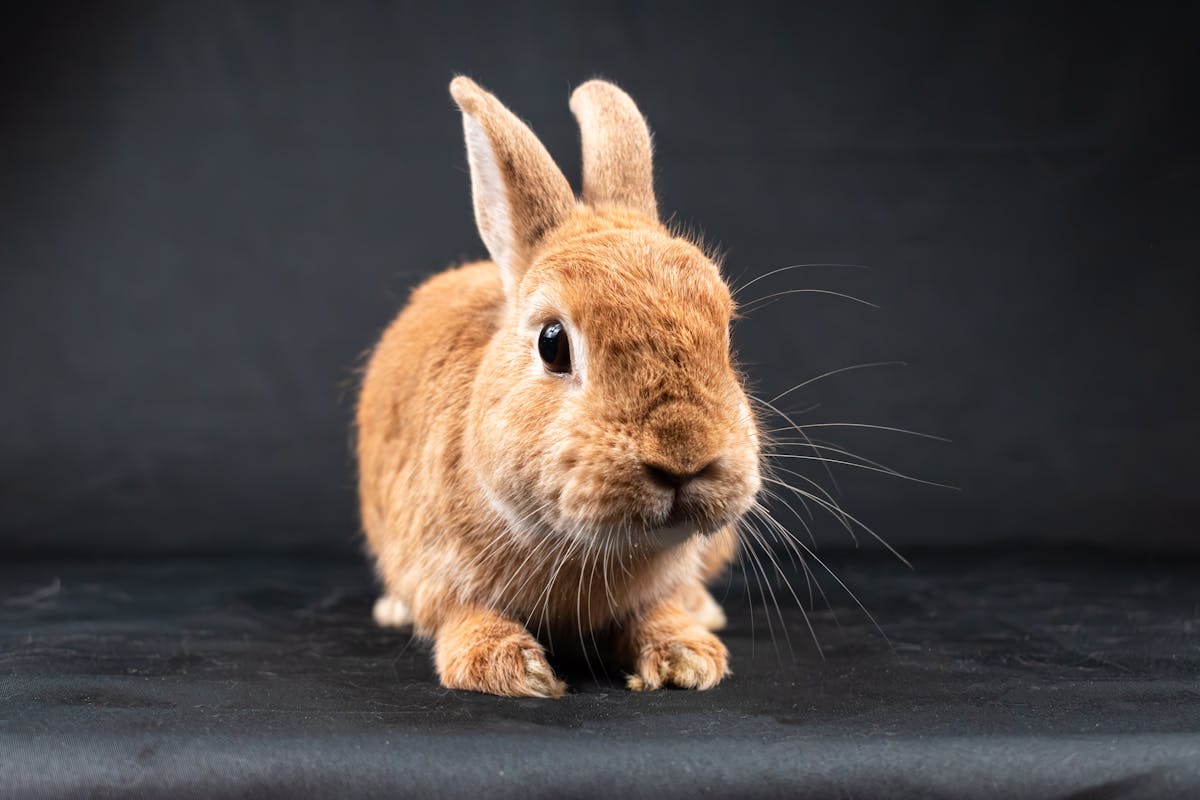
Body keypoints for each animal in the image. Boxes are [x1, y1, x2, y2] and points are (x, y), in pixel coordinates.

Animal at [355, 76, 762, 697]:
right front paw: (511, 668)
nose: (683, 457)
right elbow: (460, 613)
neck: (580, 548)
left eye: (726, 330)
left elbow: (659, 609)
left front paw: (687, 657)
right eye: (553, 344)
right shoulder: (432, 565)